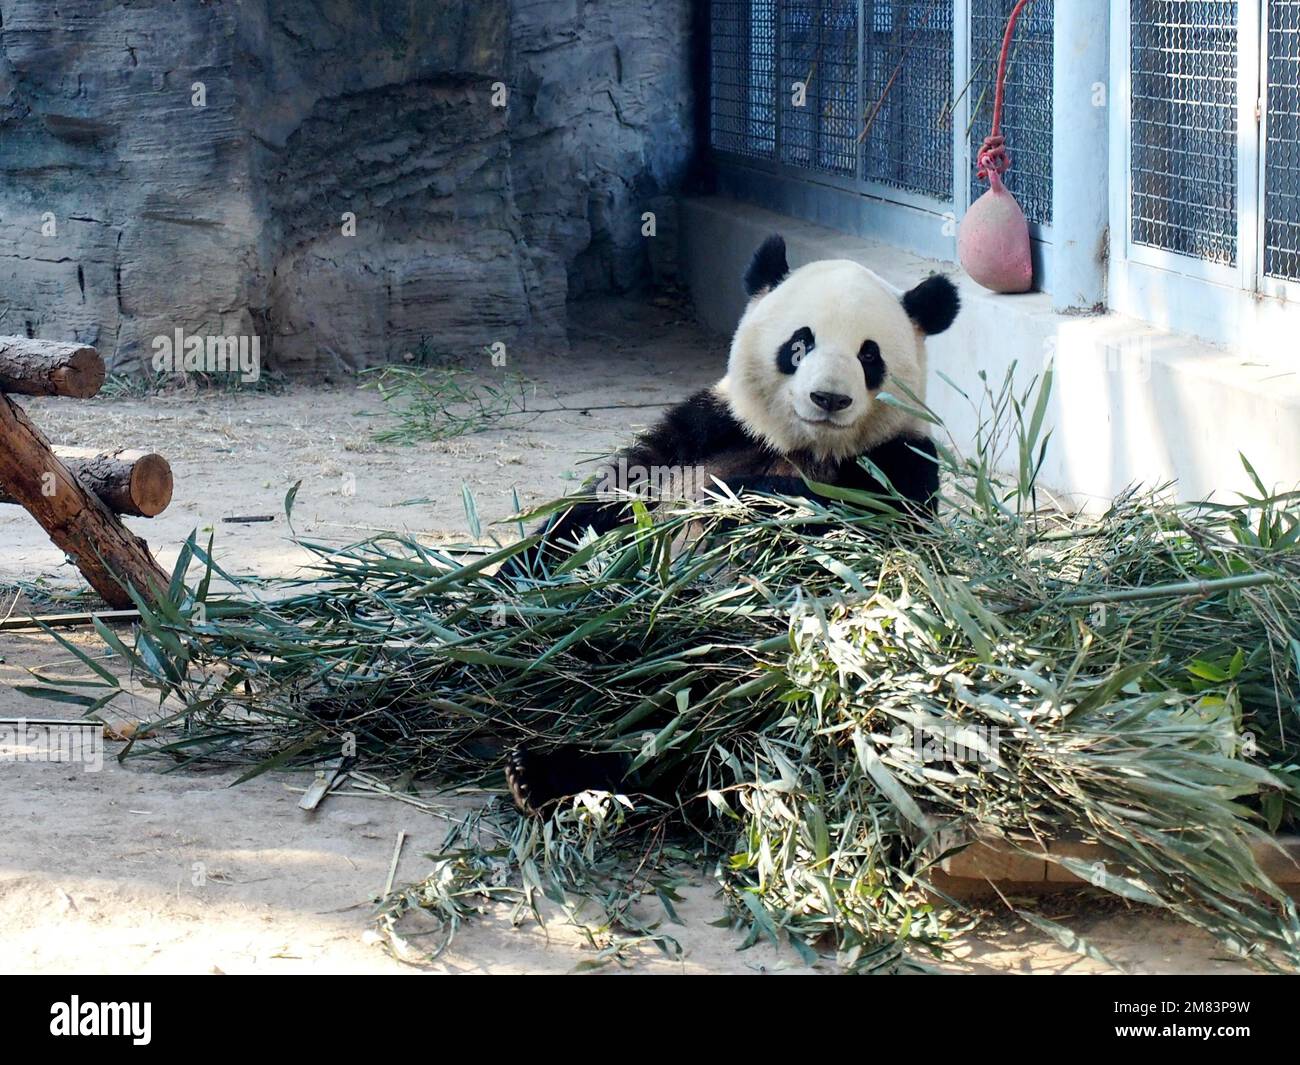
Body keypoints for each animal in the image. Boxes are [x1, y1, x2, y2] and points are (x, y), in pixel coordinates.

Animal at [505, 233, 959, 815]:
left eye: (869, 354)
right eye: (800, 343)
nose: (829, 399)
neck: (806, 447)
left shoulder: (897, 462)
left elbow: (847, 533)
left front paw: (736, 505)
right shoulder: (713, 427)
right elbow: (609, 500)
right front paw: (515, 575)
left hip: (755, 663)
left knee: (697, 710)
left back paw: (557, 769)